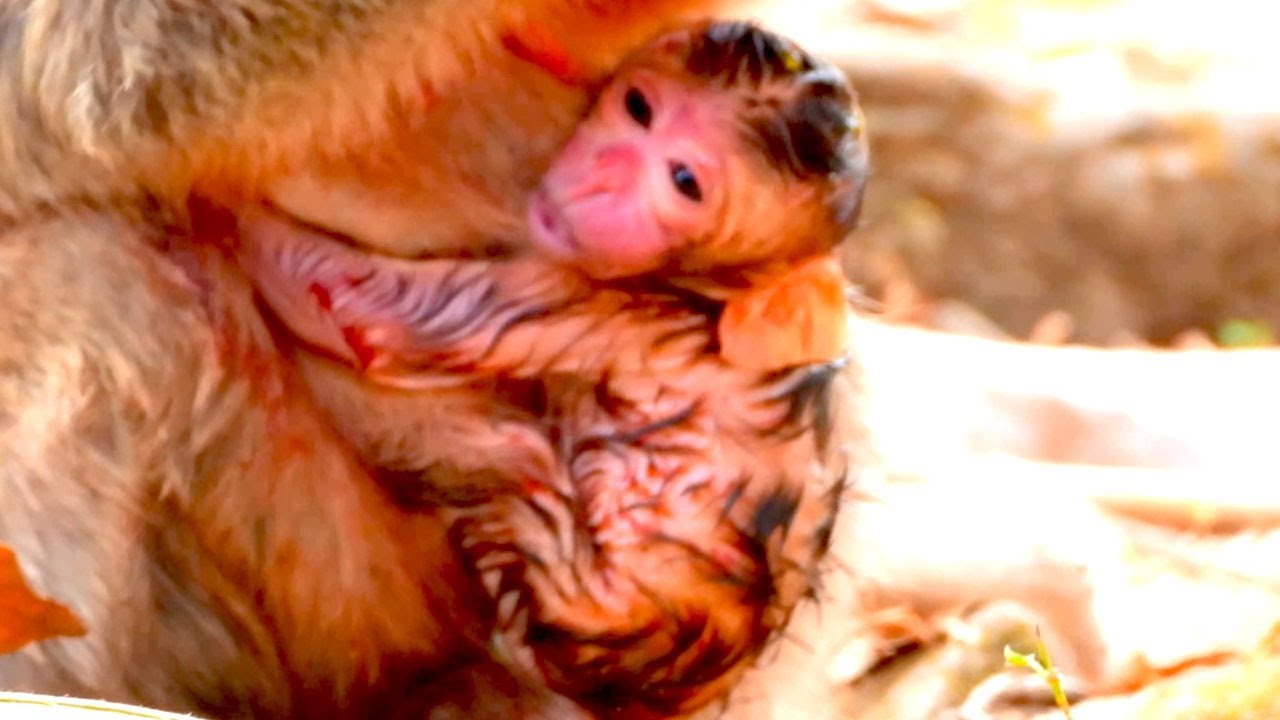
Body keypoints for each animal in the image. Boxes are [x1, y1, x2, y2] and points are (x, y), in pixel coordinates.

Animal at [231, 20, 868, 717]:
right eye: (639, 108)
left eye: (684, 181)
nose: (601, 174)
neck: (705, 291)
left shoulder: (587, 300)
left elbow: (369, 310)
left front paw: (227, 221)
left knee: (519, 472)